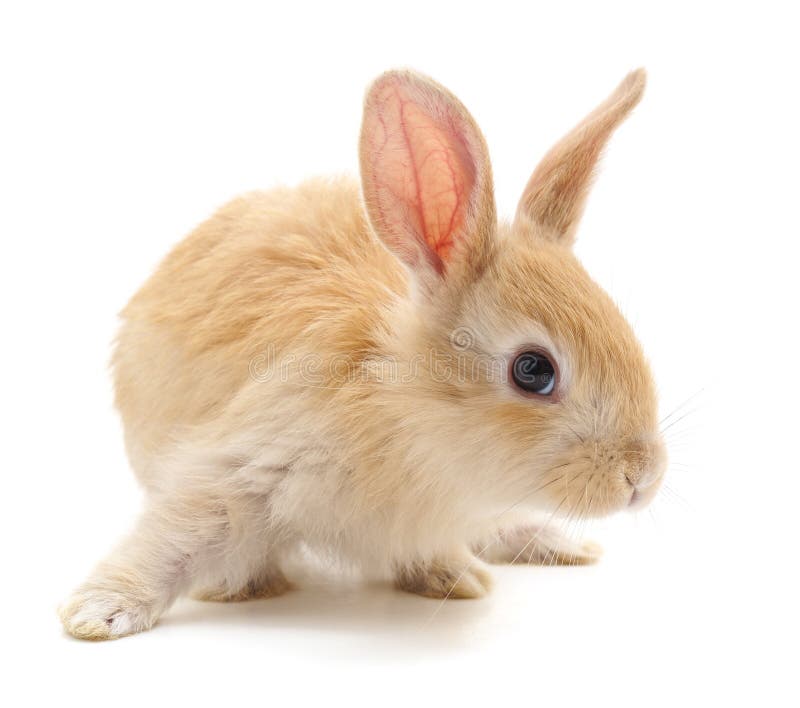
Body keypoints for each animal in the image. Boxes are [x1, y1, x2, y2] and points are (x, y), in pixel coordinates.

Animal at [59, 67, 666, 640]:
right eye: (533, 370)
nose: (642, 478)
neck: (405, 411)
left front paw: (456, 573)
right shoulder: (247, 465)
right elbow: (173, 541)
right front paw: (99, 612)